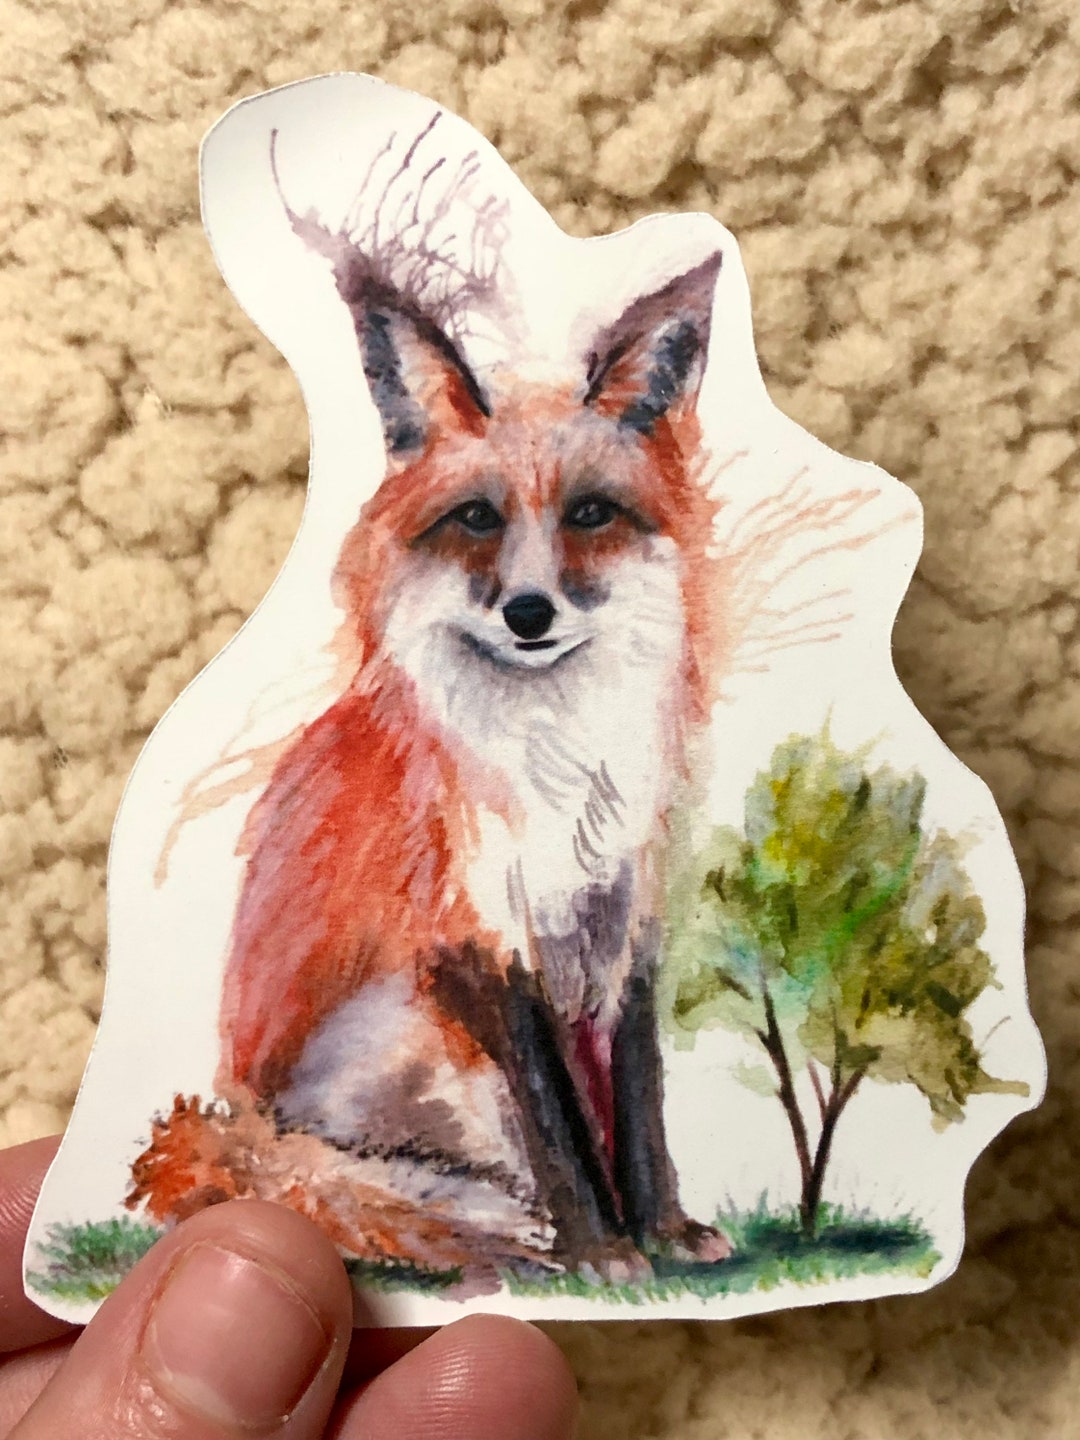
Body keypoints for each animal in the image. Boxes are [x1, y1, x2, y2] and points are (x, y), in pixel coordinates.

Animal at [134, 215, 733, 1277]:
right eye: (477, 519)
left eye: (588, 513)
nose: (530, 613)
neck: (561, 769)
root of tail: (243, 1134)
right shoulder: (473, 936)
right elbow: (559, 1118)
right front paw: (603, 1247)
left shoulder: (625, 914)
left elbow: (636, 1097)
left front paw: (660, 1230)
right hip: (417, 1037)